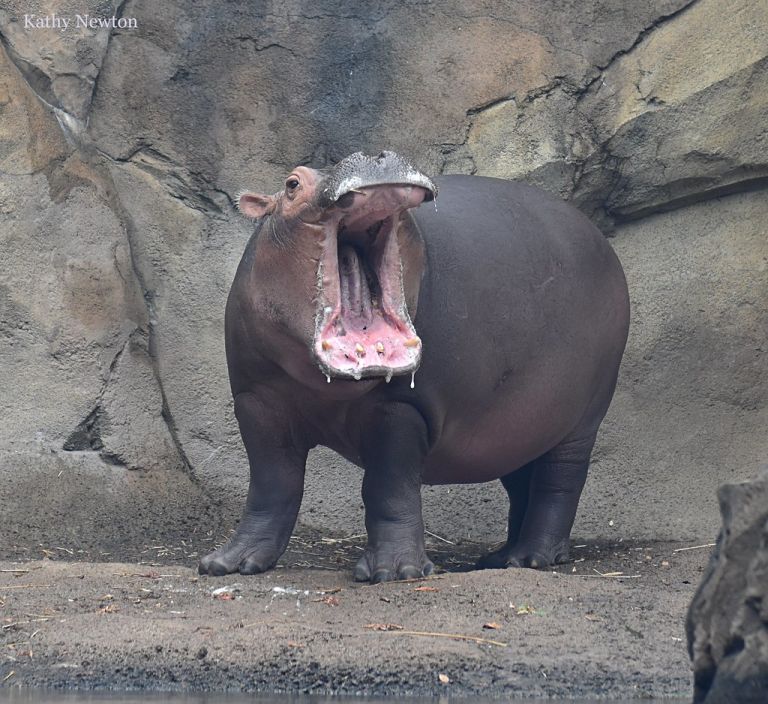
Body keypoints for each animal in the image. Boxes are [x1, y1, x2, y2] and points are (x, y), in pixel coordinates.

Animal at [199, 151, 630, 583]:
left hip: (583, 418)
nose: (373, 154)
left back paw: (533, 557)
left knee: (559, 484)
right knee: (523, 481)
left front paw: (395, 571)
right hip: (521, 424)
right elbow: (271, 485)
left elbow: (388, 488)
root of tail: (601, 241)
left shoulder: (402, 408)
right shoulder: (255, 402)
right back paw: (500, 558)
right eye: (292, 184)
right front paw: (229, 564)